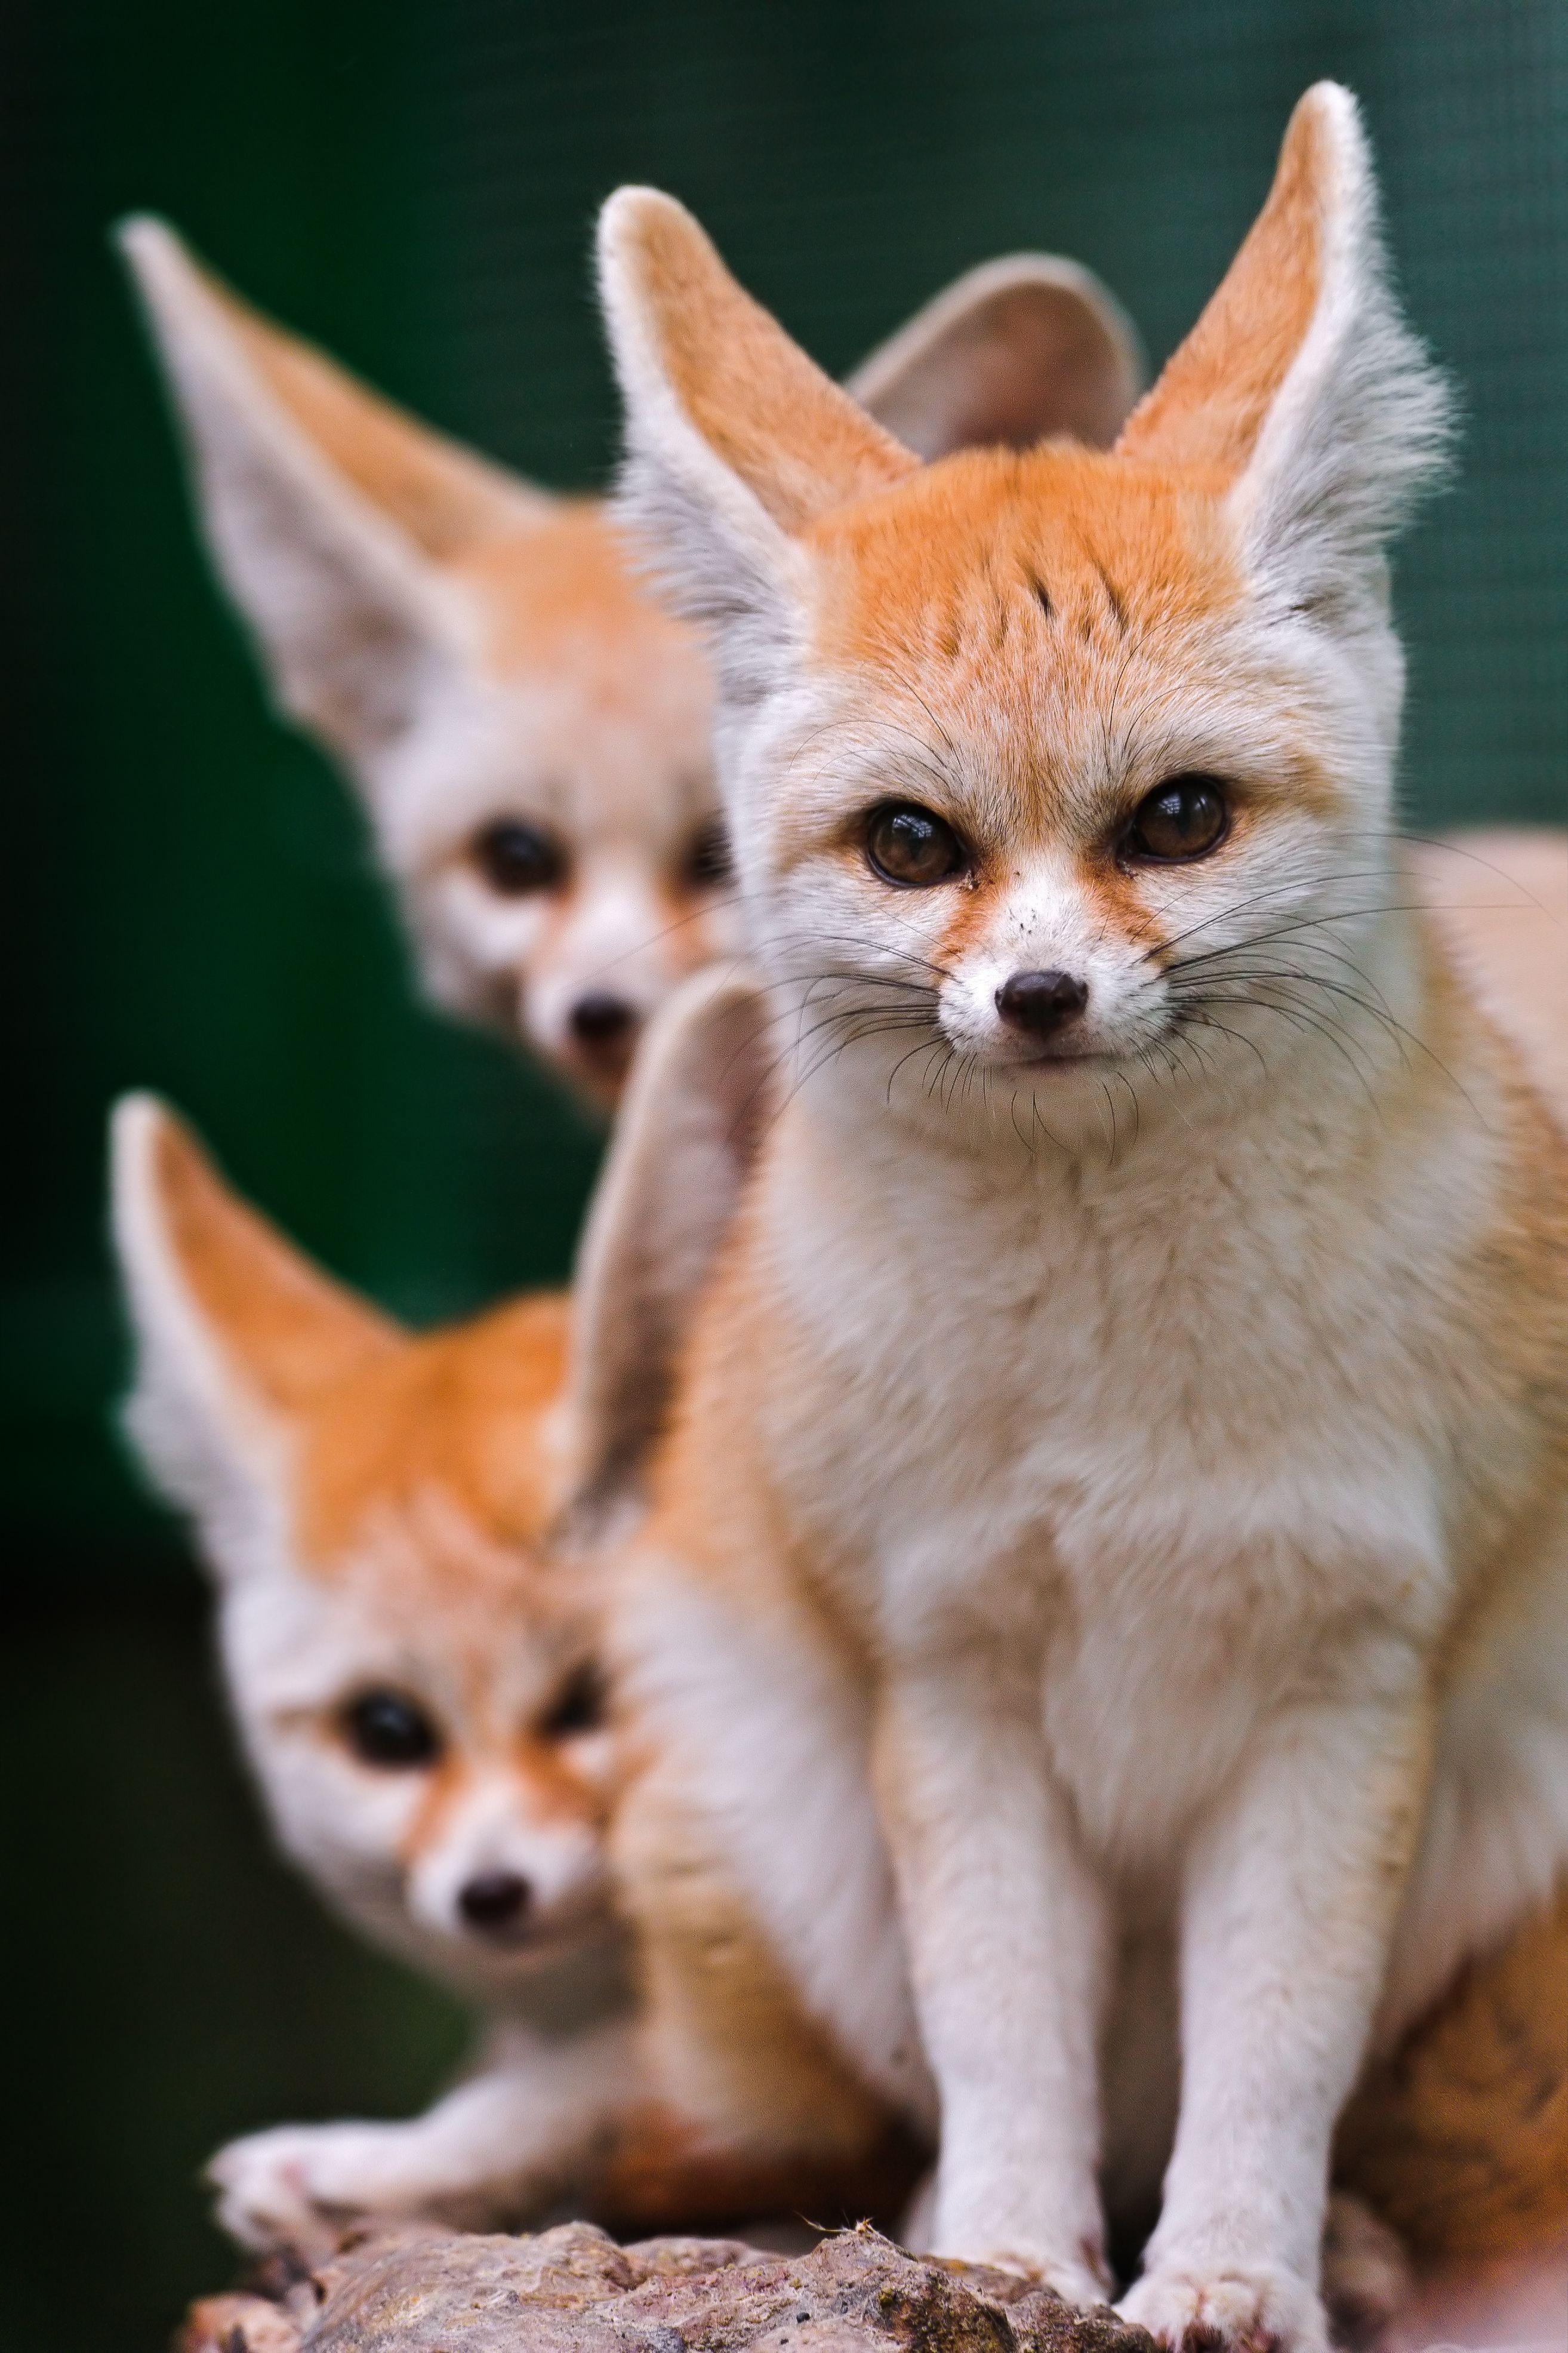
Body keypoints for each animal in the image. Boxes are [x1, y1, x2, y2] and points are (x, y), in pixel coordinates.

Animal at [572, 80, 1568, 2353]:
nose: (1033, 997)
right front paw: (1008, 2259)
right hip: (776, 1817)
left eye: (1174, 818)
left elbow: (1272, 2045)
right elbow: (1000, 2032)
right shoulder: (949, 1682)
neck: (1118, 1368)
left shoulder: (1338, 1682)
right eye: (909, 845)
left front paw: (1228, 2275)